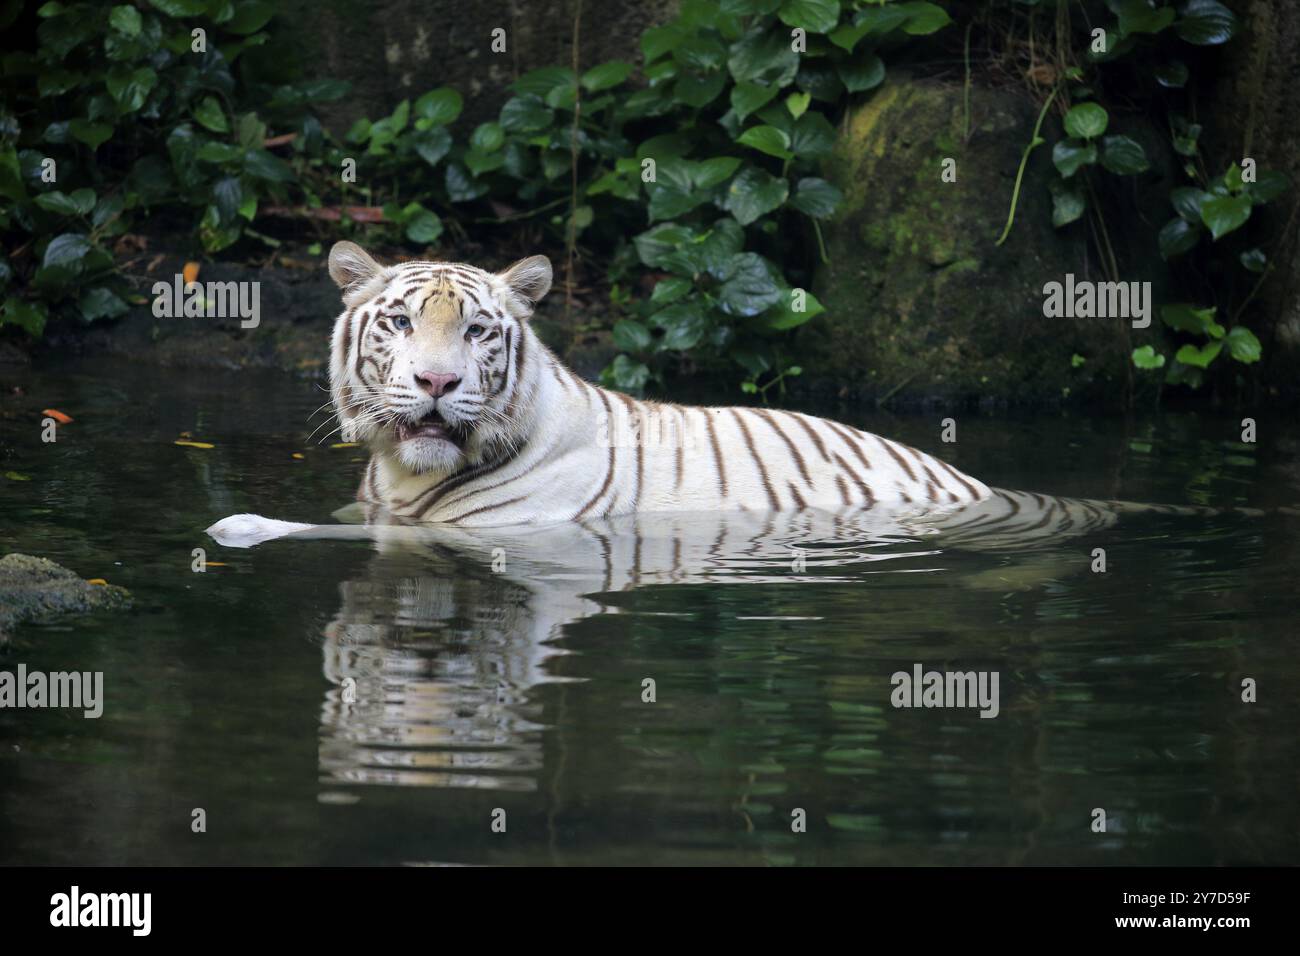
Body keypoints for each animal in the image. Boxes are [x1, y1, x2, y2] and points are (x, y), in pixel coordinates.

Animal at [206, 240, 1264, 549]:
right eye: (397, 324)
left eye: (474, 332)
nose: (435, 381)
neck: (404, 473)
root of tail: (990, 488)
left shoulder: (491, 533)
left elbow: (314, 533)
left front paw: (234, 525)